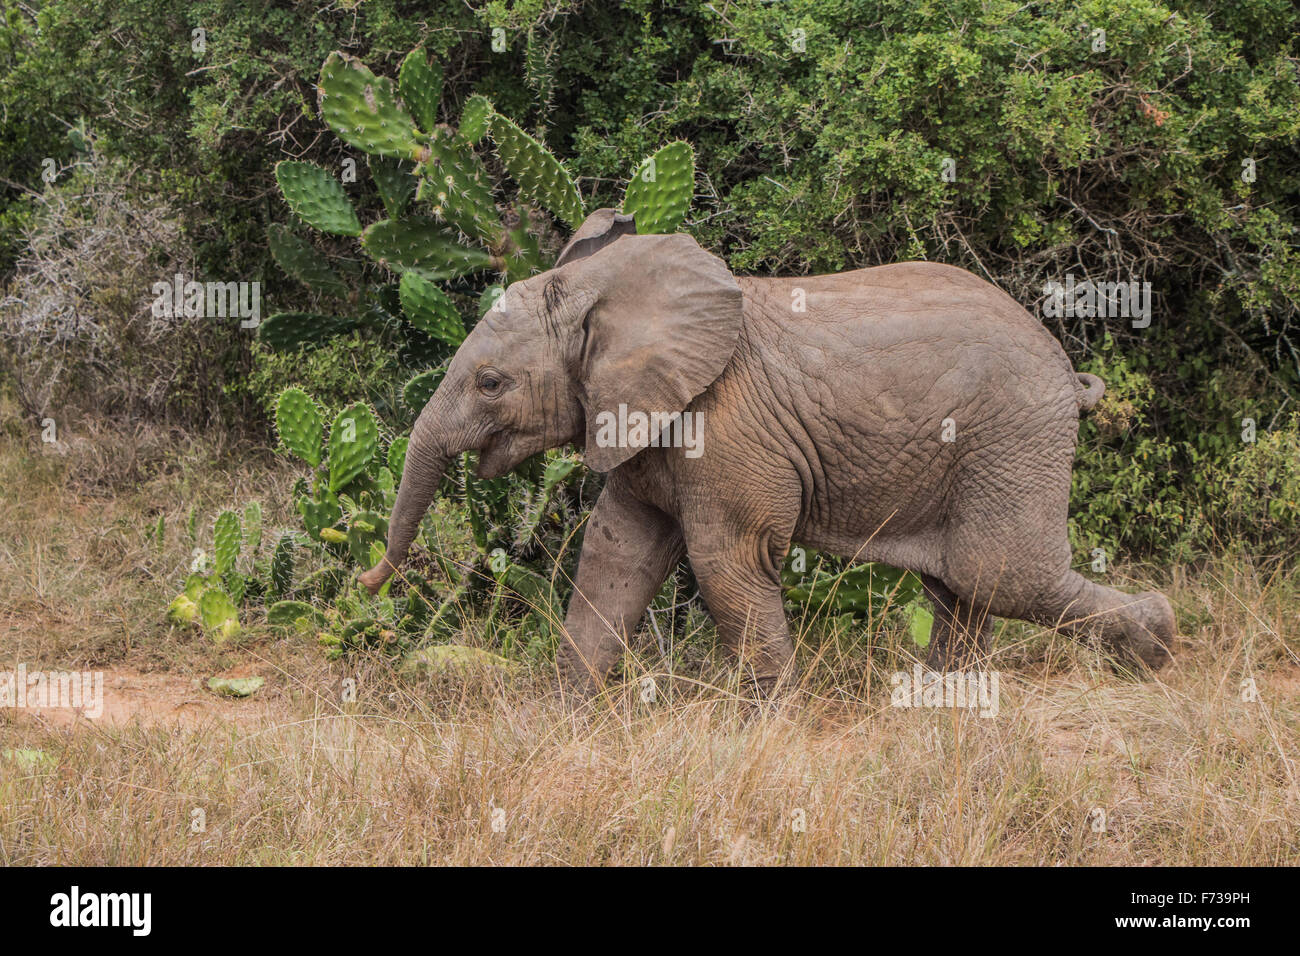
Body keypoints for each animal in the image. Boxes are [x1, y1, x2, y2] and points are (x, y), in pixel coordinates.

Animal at [360, 208, 1175, 690]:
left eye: (491, 383)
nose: (368, 582)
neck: (608, 288)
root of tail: (1069, 374)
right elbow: (617, 554)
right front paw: (561, 719)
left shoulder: (723, 430)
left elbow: (729, 562)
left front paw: (767, 727)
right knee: (961, 587)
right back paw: (944, 703)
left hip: (1012, 437)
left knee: (1000, 574)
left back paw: (1159, 645)